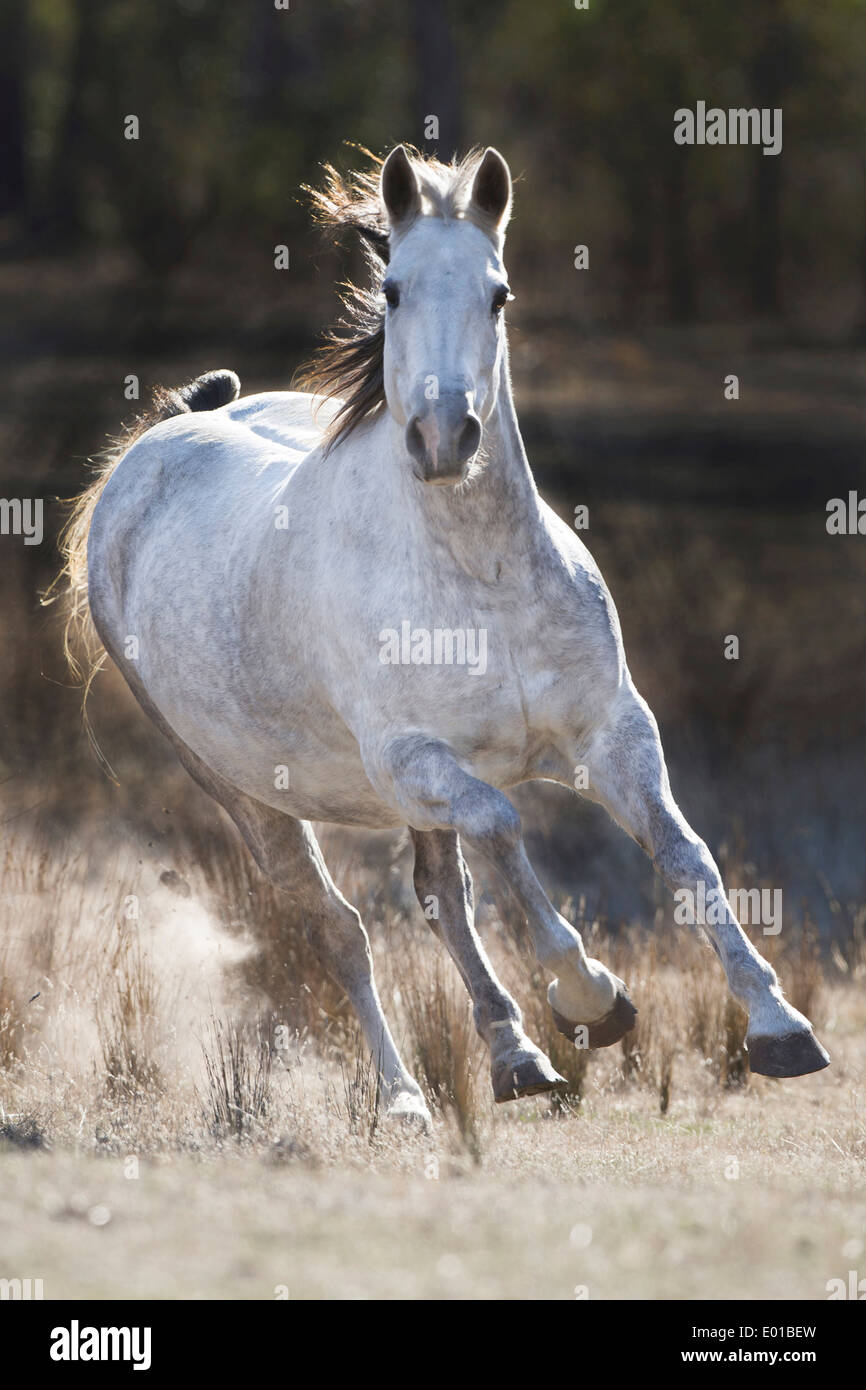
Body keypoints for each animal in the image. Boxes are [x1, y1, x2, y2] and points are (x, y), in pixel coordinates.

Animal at [61, 145, 829, 1127]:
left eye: (499, 294)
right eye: (391, 289)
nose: (442, 437)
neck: (479, 578)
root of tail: (156, 443)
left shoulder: (613, 731)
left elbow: (684, 853)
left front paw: (779, 1026)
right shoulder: (417, 760)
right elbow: (504, 827)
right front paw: (591, 997)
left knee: (441, 901)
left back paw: (516, 1058)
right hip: (249, 795)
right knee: (340, 930)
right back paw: (404, 1099)